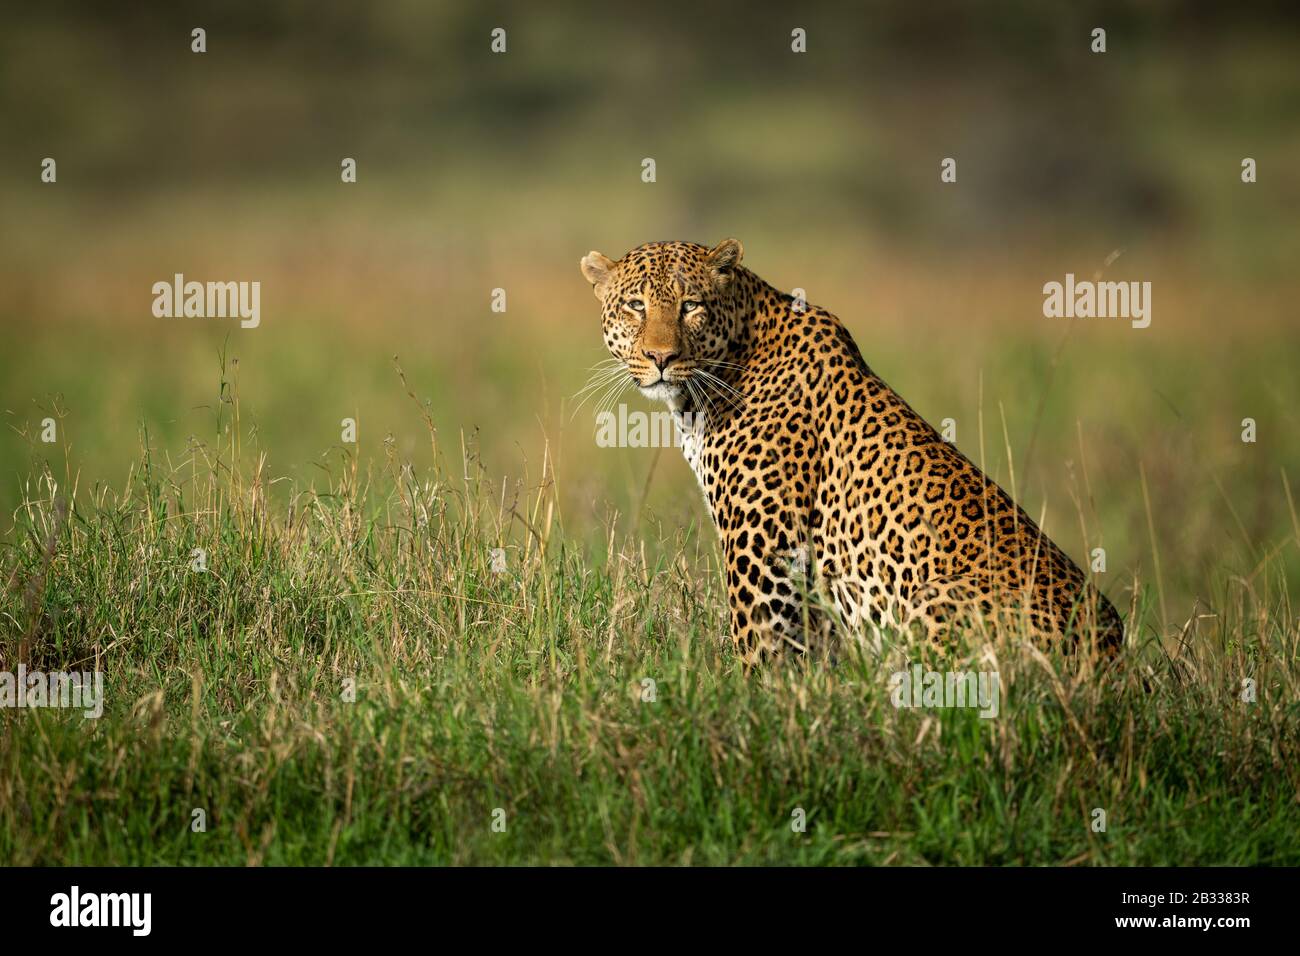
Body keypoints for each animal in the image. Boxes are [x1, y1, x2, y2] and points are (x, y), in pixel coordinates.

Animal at [580, 238, 1123, 664]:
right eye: (635, 305)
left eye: (691, 305)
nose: (661, 357)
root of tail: (1112, 658)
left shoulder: (765, 551)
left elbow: (760, 651)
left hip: (935, 601)